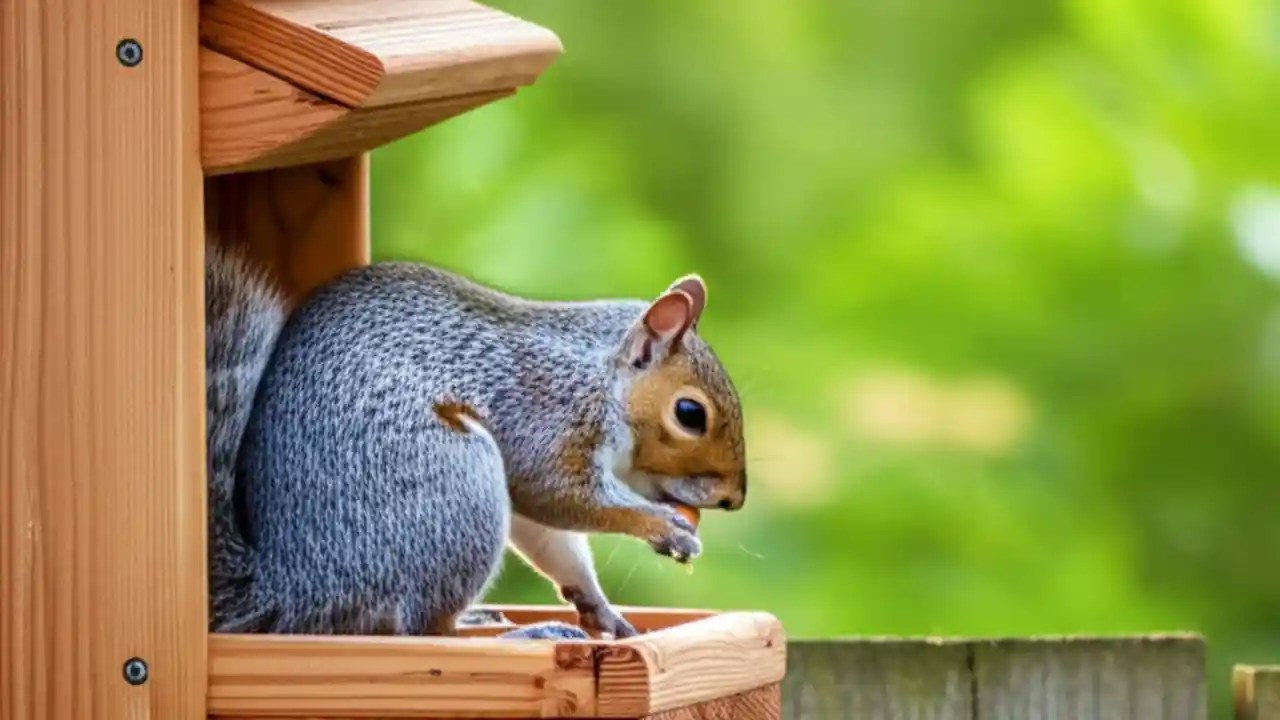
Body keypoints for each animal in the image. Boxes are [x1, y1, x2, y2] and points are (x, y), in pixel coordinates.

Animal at [206, 237, 748, 640]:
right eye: (689, 413)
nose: (733, 499)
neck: (598, 378)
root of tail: (292, 590)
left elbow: (550, 539)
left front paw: (601, 609)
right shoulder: (545, 416)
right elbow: (564, 497)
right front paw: (660, 525)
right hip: (455, 486)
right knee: (424, 629)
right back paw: (521, 633)